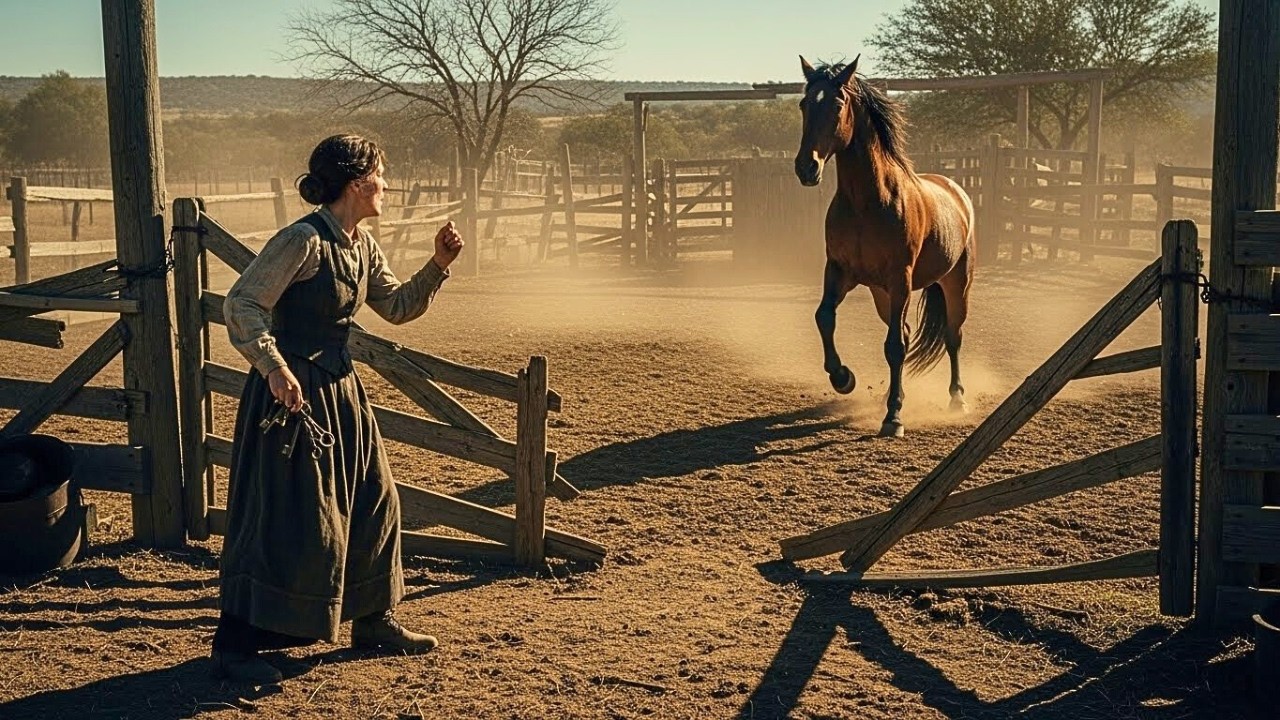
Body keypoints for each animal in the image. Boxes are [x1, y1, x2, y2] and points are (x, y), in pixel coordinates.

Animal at [794, 55, 976, 438]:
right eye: (804, 104)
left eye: (837, 105)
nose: (806, 167)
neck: (866, 203)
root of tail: (956, 191)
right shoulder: (839, 271)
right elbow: (824, 317)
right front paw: (843, 377)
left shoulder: (899, 278)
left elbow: (894, 346)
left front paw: (893, 417)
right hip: (882, 294)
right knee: (906, 333)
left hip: (956, 284)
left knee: (952, 337)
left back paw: (956, 399)